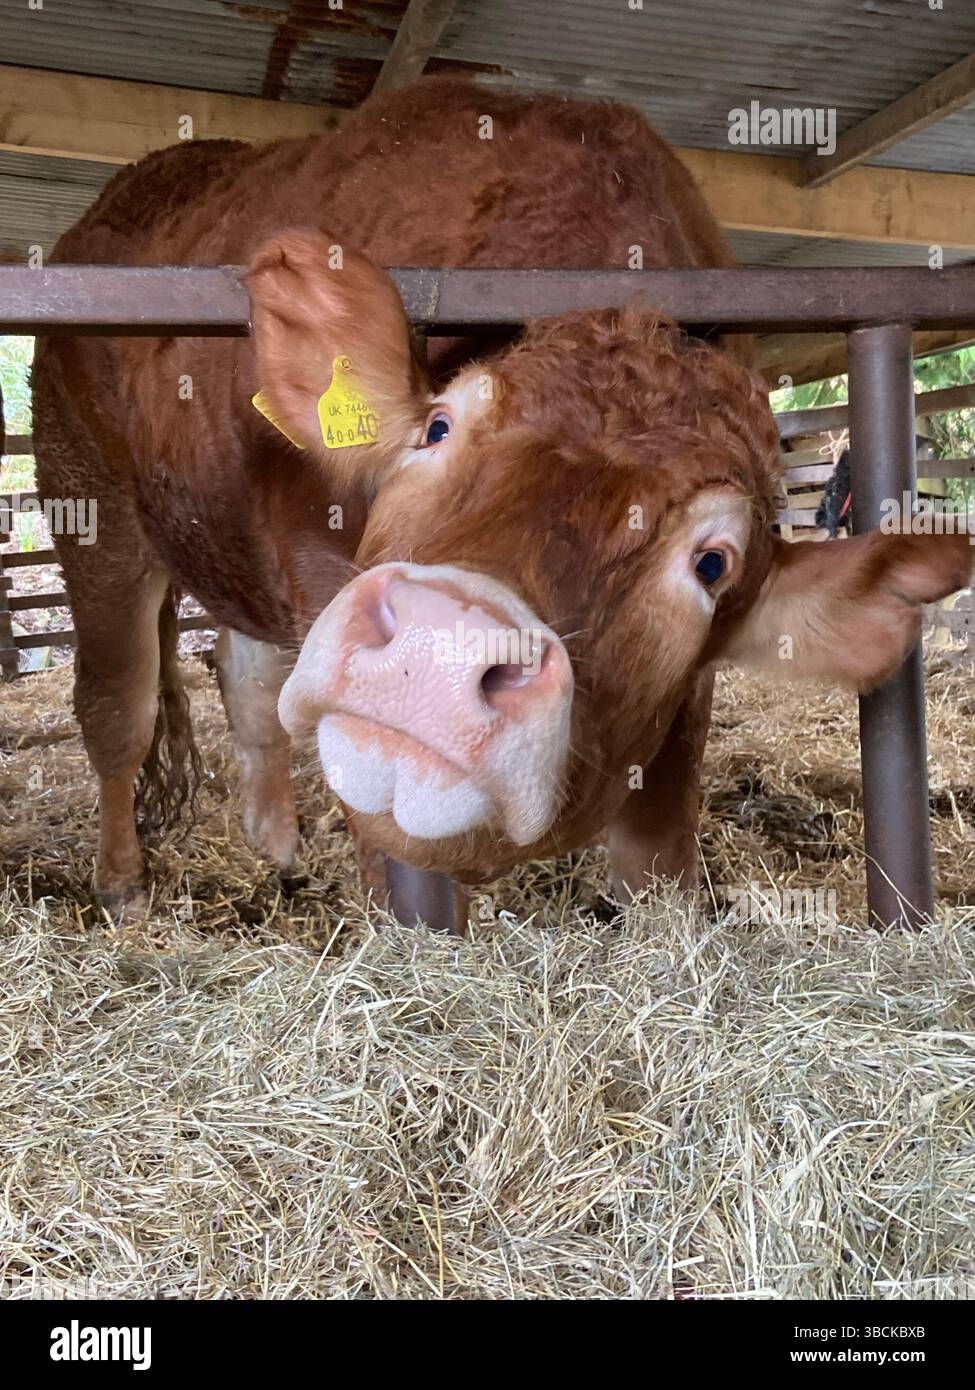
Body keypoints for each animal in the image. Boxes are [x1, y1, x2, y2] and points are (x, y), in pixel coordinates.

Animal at [33, 78, 973, 920]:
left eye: (711, 563)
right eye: (438, 426)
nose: (436, 653)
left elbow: (659, 846)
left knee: (246, 679)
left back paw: (277, 847)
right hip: (85, 492)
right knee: (119, 704)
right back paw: (122, 883)